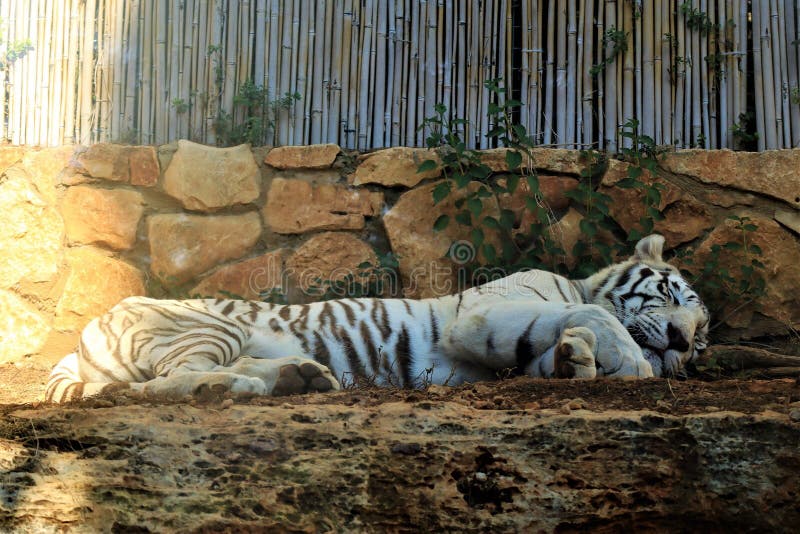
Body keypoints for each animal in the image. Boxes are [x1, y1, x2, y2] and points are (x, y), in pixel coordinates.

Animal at [45, 234, 710, 403]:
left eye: (703, 340)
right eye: (670, 292)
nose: (682, 342)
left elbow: (557, 346)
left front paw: (577, 359)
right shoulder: (485, 315)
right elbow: (595, 312)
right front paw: (628, 359)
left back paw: (301, 378)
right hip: (211, 326)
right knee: (154, 385)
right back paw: (227, 387)